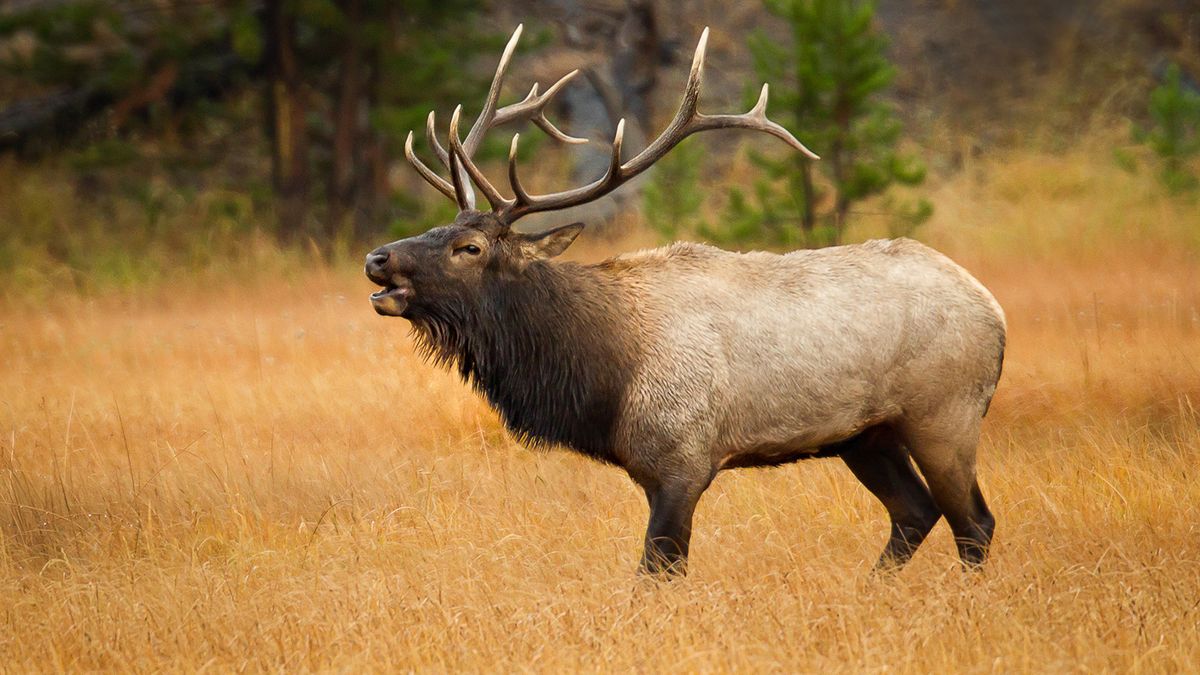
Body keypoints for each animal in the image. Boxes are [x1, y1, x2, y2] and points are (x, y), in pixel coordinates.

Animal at [365, 25, 1006, 576]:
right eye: (438, 227)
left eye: (469, 248)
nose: (377, 258)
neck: (603, 375)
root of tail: (994, 310)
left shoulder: (684, 459)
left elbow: (657, 570)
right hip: (865, 434)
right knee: (915, 513)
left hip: (943, 413)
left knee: (973, 522)